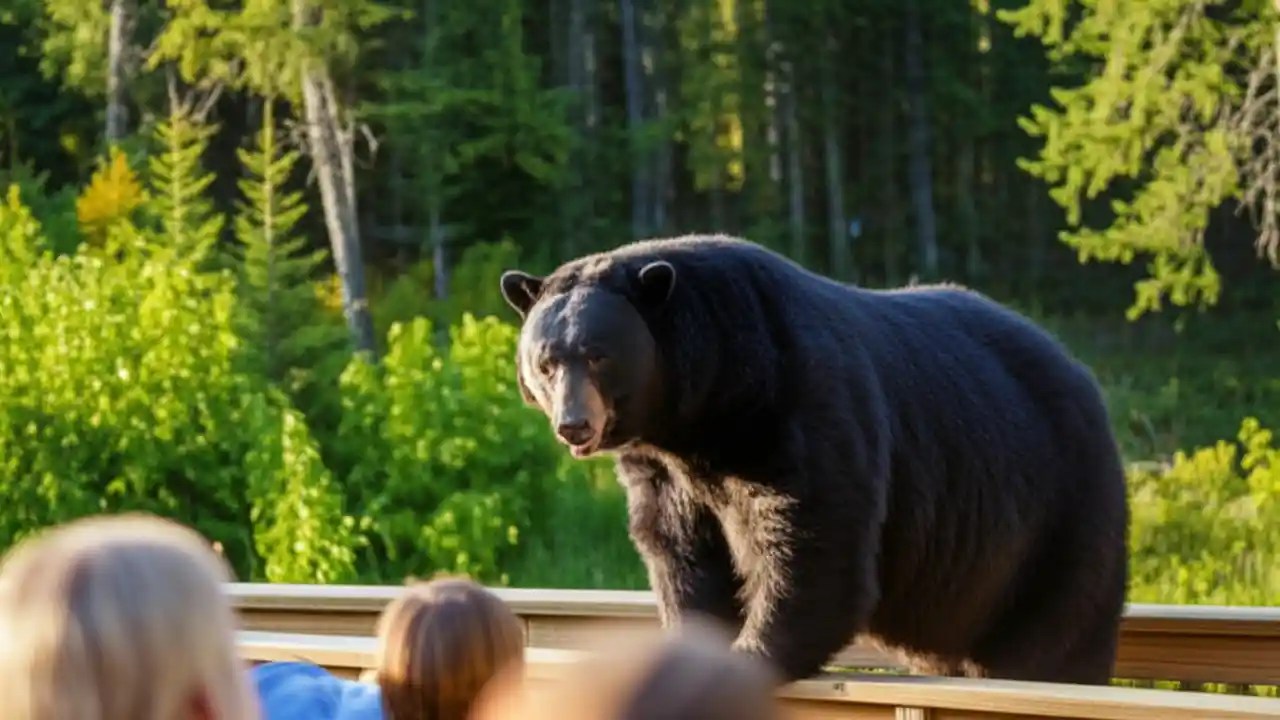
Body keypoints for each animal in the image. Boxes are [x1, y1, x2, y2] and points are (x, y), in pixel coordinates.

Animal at [497, 234, 1130, 686]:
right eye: (547, 361)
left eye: (598, 355)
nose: (574, 424)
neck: (702, 405)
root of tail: (1083, 376)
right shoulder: (665, 464)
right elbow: (680, 547)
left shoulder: (796, 401)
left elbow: (814, 532)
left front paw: (757, 650)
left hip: (1056, 516)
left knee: (1057, 631)